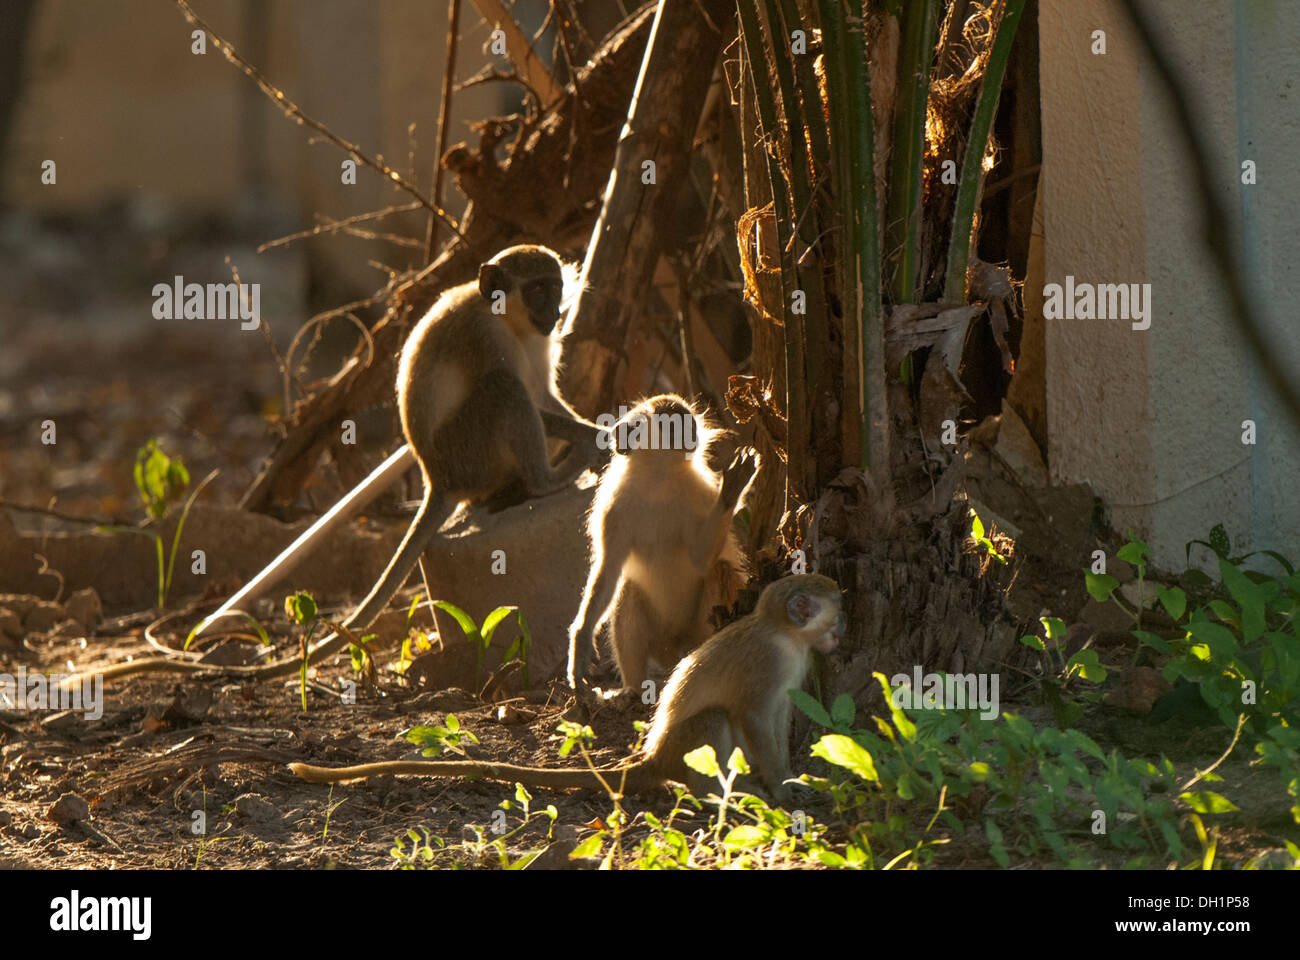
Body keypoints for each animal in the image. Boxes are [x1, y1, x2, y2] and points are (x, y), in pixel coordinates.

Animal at [289, 573, 845, 804]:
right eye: (835, 607)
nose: (843, 627)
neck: (782, 632)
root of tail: (652, 757)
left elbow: (778, 718)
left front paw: (790, 778)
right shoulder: (768, 663)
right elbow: (751, 717)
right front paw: (780, 790)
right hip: (684, 750)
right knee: (714, 720)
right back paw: (717, 795)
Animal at [565, 394, 758, 694]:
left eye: (688, 422)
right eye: (674, 425)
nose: (692, 435)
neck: (658, 479)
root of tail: (677, 646)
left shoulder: (700, 494)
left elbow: (702, 558)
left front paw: (731, 490)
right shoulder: (614, 508)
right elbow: (609, 569)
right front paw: (582, 640)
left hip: (697, 630)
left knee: (720, 570)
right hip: (661, 642)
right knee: (628, 590)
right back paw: (632, 690)